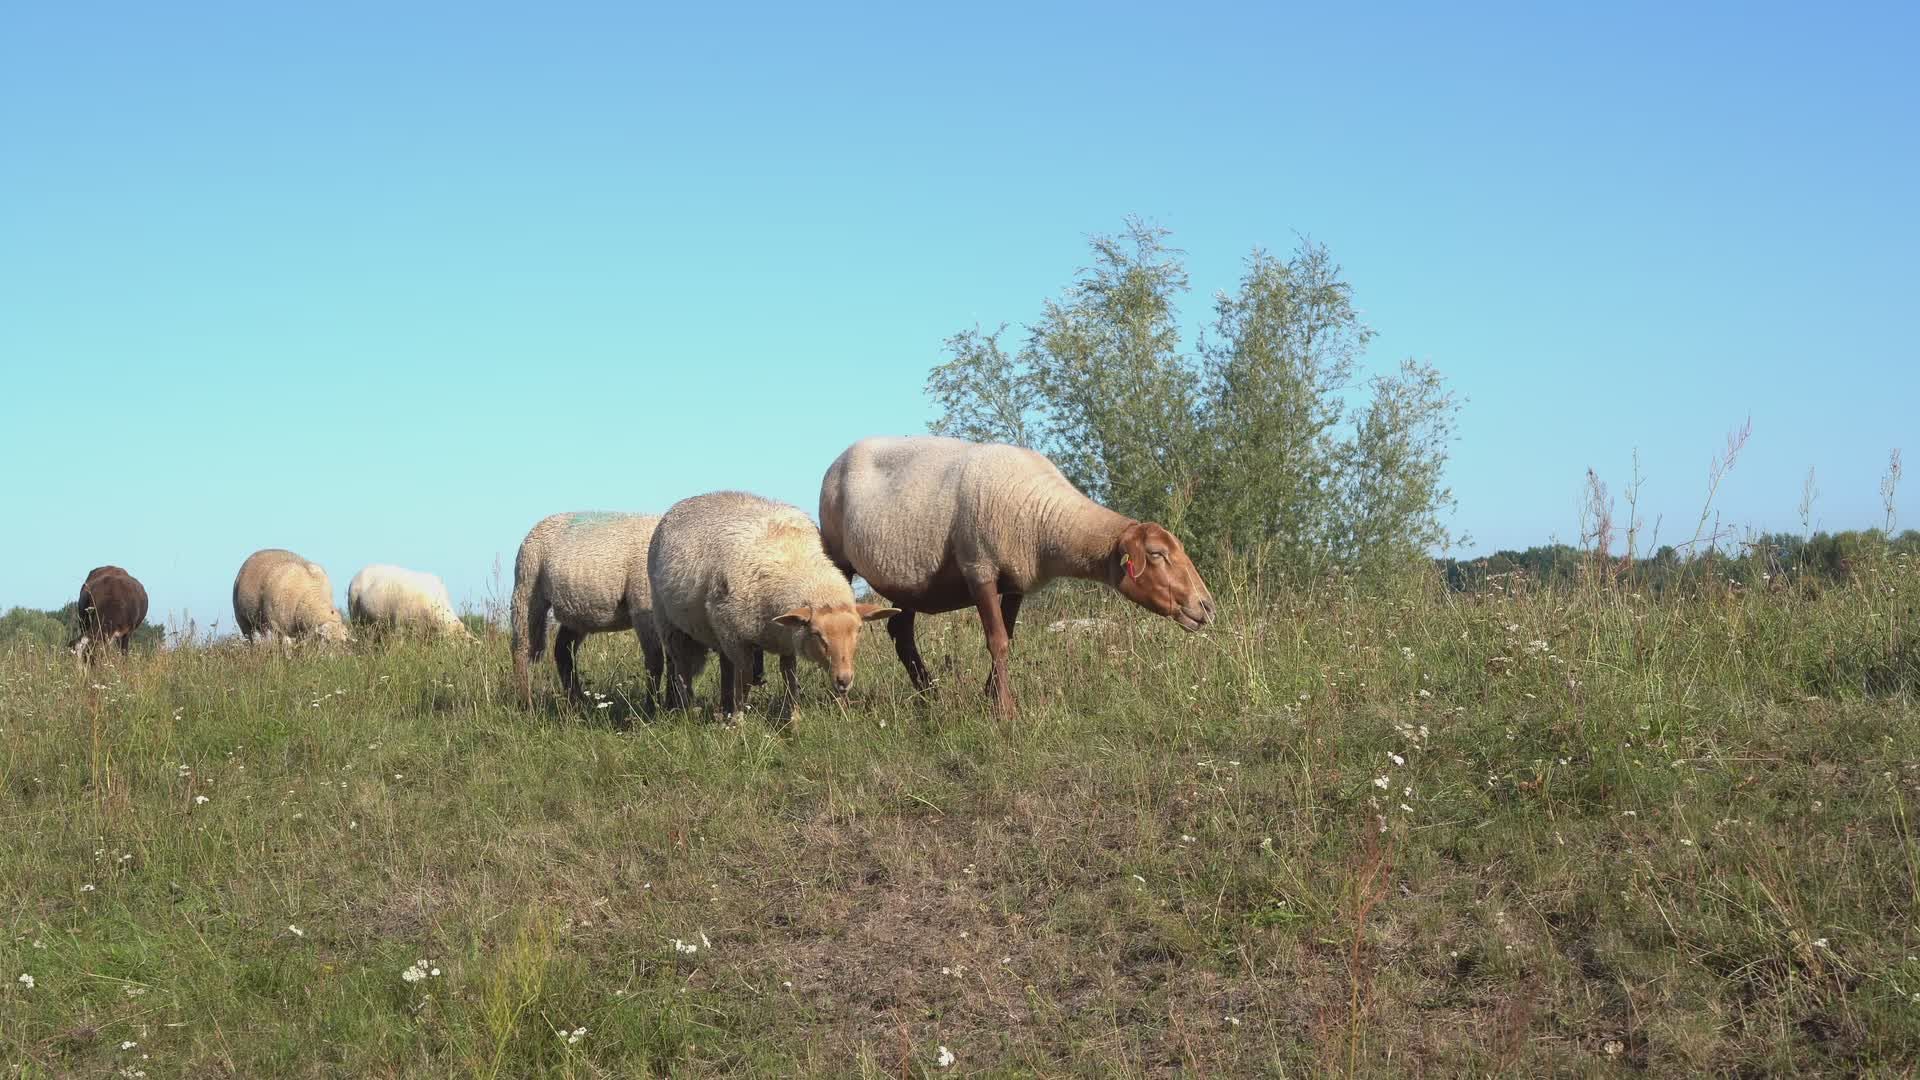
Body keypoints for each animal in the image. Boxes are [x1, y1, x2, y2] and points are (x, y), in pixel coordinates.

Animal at [510, 511, 667, 712]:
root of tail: (535, 528)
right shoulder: (643, 606)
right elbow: (655, 659)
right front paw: (652, 708)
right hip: (527, 589)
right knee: (521, 649)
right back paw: (526, 705)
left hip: (577, 609)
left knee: (563, 651)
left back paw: (577, 704)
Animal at [648, 491, 896, 721]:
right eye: (816, 633)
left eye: (859, 630)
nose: (844, 680)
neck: (795, 561)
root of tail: (687, 501)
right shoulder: (738, 638)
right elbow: (745, 678)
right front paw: (739, 721)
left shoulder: (785, 637)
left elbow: (789, 676)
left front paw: (793, 718)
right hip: (672, 625)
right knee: (682, 669)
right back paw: (688, 711)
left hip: (719, 632)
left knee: (725, 667)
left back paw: (724, 707)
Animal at [819, 435, 1217, 717]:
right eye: (1157, 554)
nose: (1207, 607)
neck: (1044, 518)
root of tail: (841, 456)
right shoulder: (979, 568)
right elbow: (997, 641)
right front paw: (1005, 711)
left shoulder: (1015, 582)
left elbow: (1007, 637)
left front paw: (990, 697)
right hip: (838, 556)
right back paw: (844, 704)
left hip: (909, 579)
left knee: (900, 632)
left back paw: (931, 696)